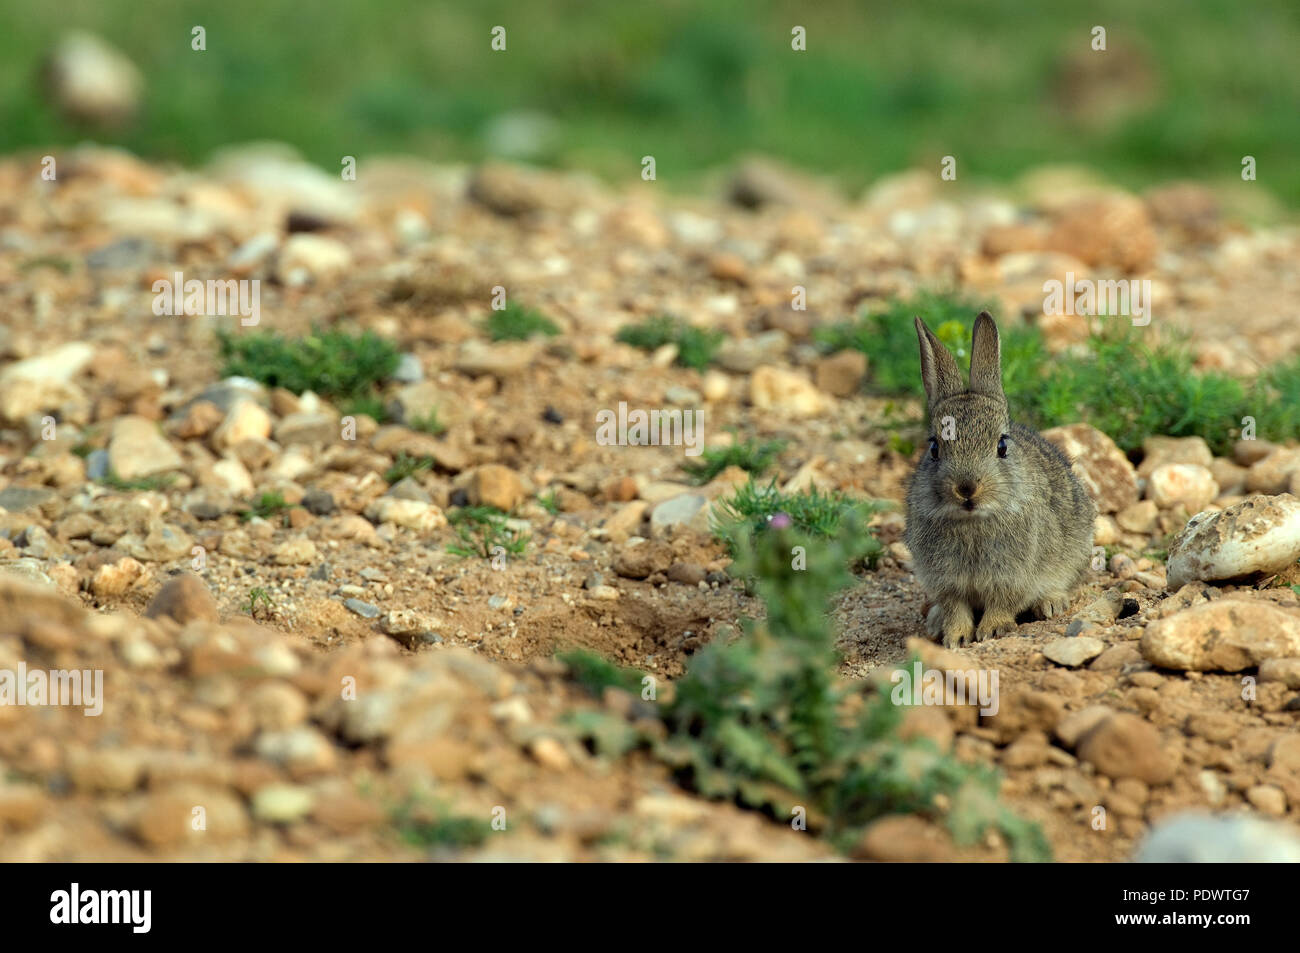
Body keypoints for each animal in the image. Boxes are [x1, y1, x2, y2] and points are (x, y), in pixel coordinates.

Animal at [904, 311, 1095, 648]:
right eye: (934, 448)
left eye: (1002, 446)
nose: (967, 488)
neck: (972, 520)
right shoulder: (945, 582)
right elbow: (955, 607)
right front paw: (956, 638)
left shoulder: (1014, 576)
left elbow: (1002, 603)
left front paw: (991, 630)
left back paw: (1051, 603)